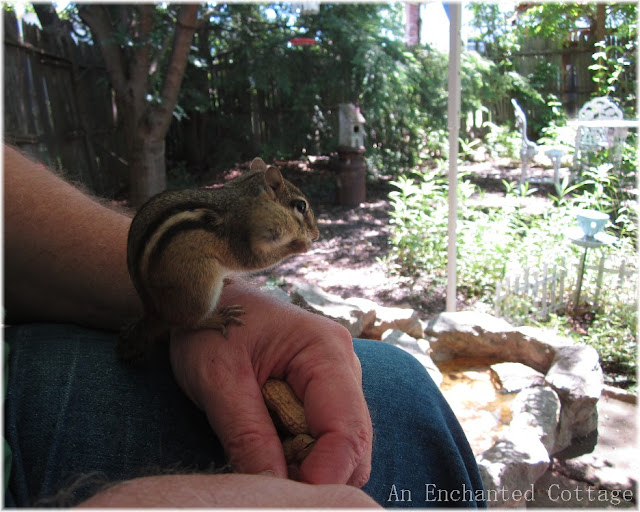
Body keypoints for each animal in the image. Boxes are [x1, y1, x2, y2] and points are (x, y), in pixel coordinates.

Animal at [118, 157, 320, 361]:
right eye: (301, 206)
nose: (317, 235)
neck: (247, 199)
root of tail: (153, 314)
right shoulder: (242, 238)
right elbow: (254, 261)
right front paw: (300, 244)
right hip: (200, 286)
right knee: (187, 323)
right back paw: (218, 318)